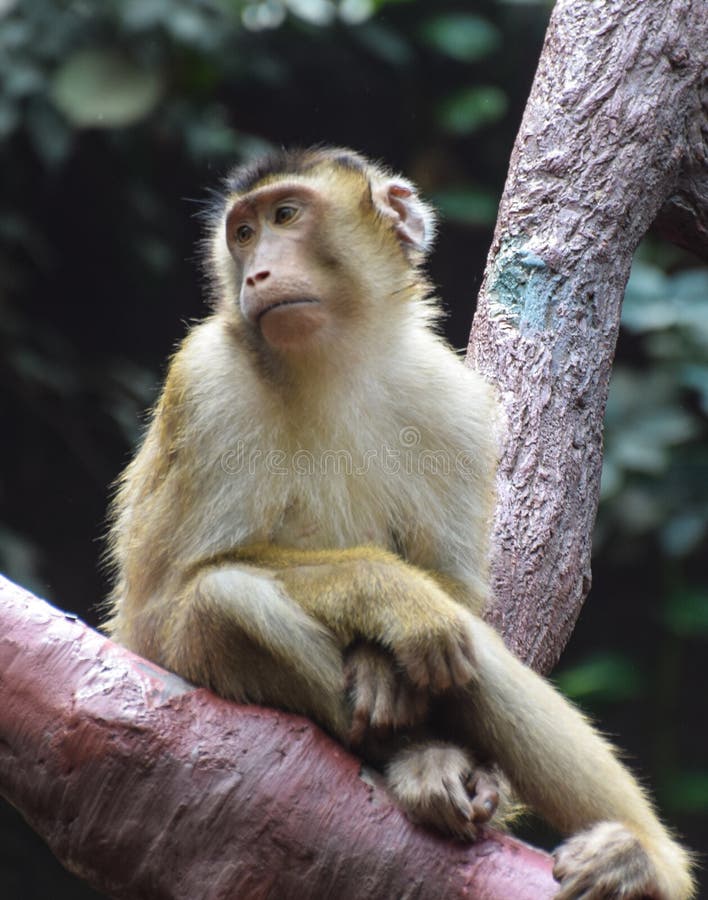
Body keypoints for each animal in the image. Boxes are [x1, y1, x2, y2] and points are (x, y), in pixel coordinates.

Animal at [104, 146, 695, 899]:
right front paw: (389, 597)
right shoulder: (205, 381)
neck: (335, 360)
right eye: (242, 233)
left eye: (285, 216)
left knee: (469, 650)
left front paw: (390, 656)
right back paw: (415, 754)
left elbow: (458, 597)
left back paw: (644, 859)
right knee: (220, 603)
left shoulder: (454, 400)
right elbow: (174, 588)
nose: (258, 271)